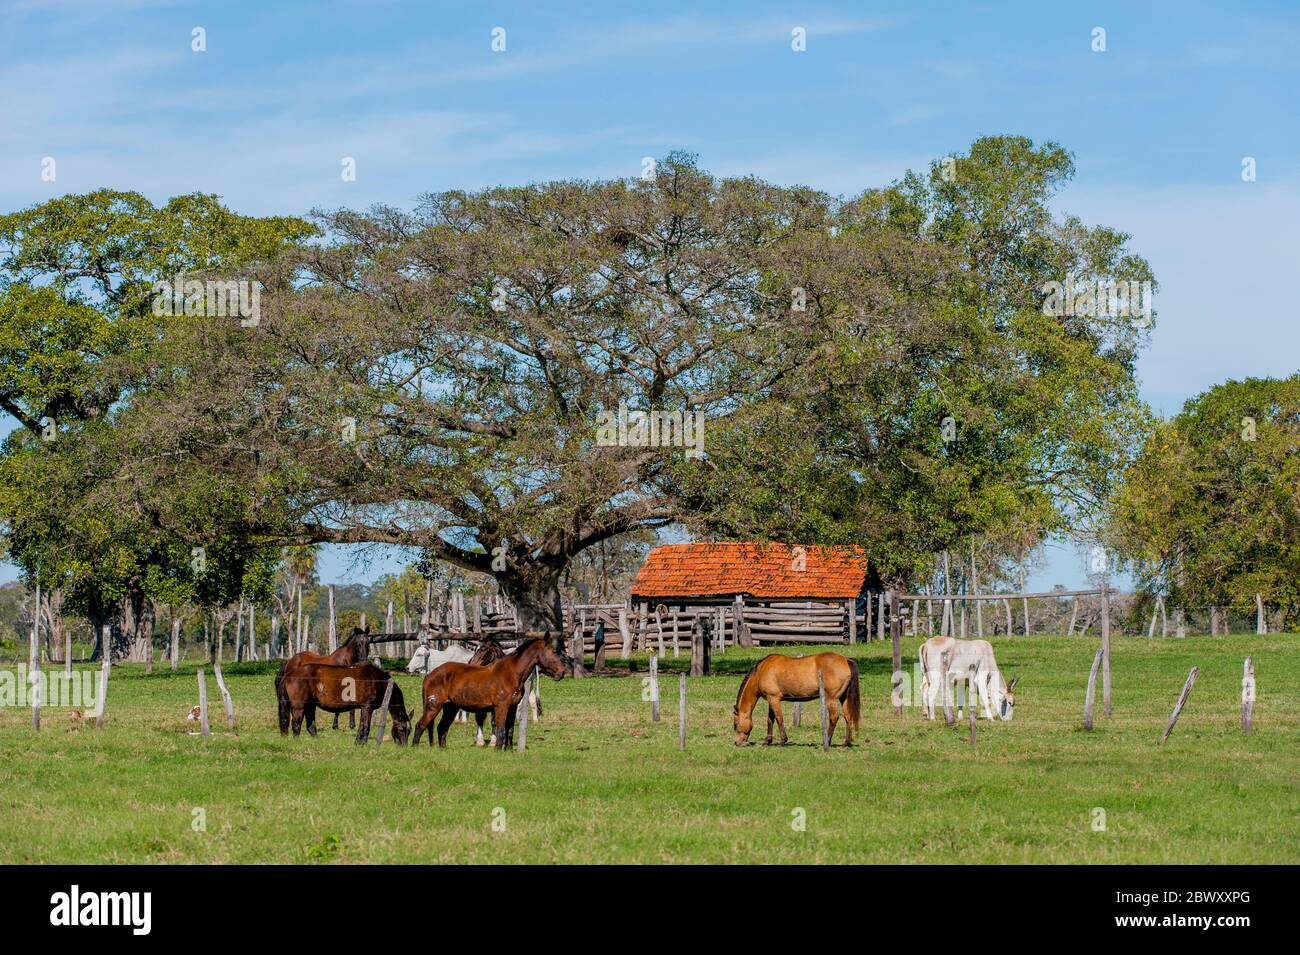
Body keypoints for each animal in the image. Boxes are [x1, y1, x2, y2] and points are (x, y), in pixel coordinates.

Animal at [278, 659, 411, 744]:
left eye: (409, 731)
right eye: (401, 729)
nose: (403, 747)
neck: (378, 679)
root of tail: (289, 673)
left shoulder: (365, 708)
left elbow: (361, 725)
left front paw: (357, 743)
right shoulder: (367, 707)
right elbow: (365, 727)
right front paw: (363, 744)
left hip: (310, 706)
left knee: (310, 726)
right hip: (299, 707)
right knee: (296, 725)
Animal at [411, 636, 569, 749]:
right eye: (553, 652)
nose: (562, 672)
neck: (511, 673)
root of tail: (430, 675)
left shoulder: (512, 707)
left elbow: (510, 730)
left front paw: (508, 750)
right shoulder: (501, 707)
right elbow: (500, 729)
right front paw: (498, 748)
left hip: (450, 708)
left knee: (441, 728)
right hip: (433, 706)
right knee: (420, 725)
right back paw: (414, 748)